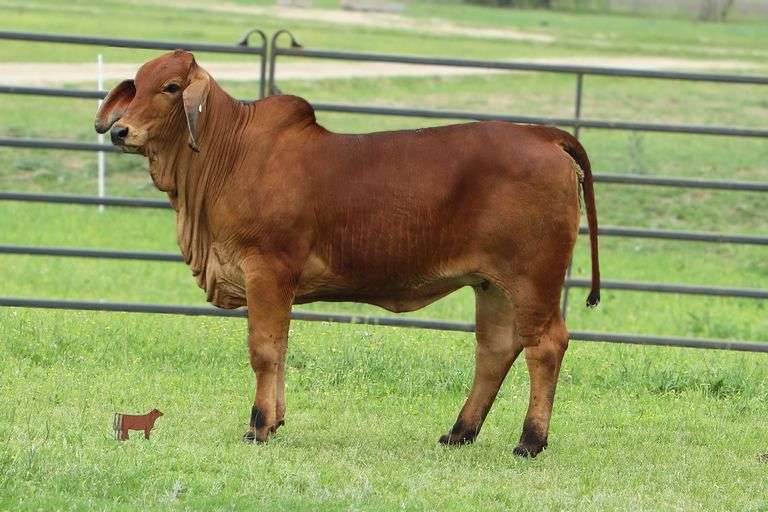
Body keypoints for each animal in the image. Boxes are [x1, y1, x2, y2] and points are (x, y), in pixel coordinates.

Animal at [95, 50, 600, 457]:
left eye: (171, 87)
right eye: (136, 83)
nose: (119, 130)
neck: (230, 155)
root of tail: (543, 135)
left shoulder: (267, 270)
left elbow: (263, 349)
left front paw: (258, 426)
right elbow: (281, 346)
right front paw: (275, 421)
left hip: (534, 279)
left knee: (546, 345)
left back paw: (530, 441)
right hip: (491, 285)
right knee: (495, 349)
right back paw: (459, 432)